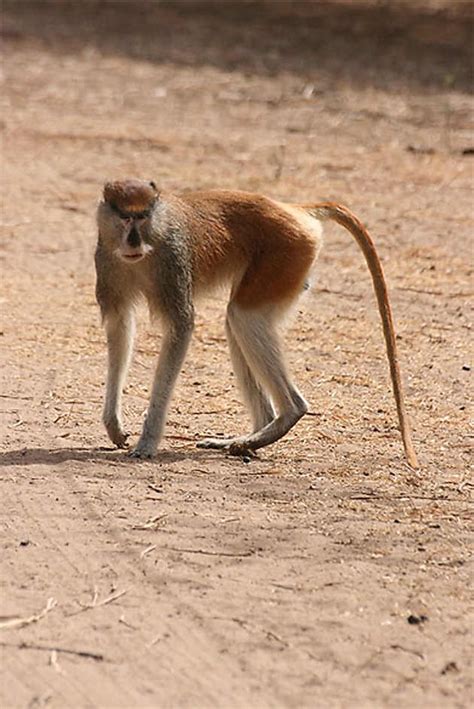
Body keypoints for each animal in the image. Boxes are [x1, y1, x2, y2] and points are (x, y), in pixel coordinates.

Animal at [95, 179, 418, 468]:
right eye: (125, 217)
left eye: (142, 217)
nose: (134, 240)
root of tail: (294, 209)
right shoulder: (107, 263)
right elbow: (120, 326)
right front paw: (114, 425)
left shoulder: (172, 263)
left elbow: (181, 327)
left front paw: (148, 441)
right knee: (236, 321)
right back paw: (251, 436)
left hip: (285, 255)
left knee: (243, 317)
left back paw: (285, 416)